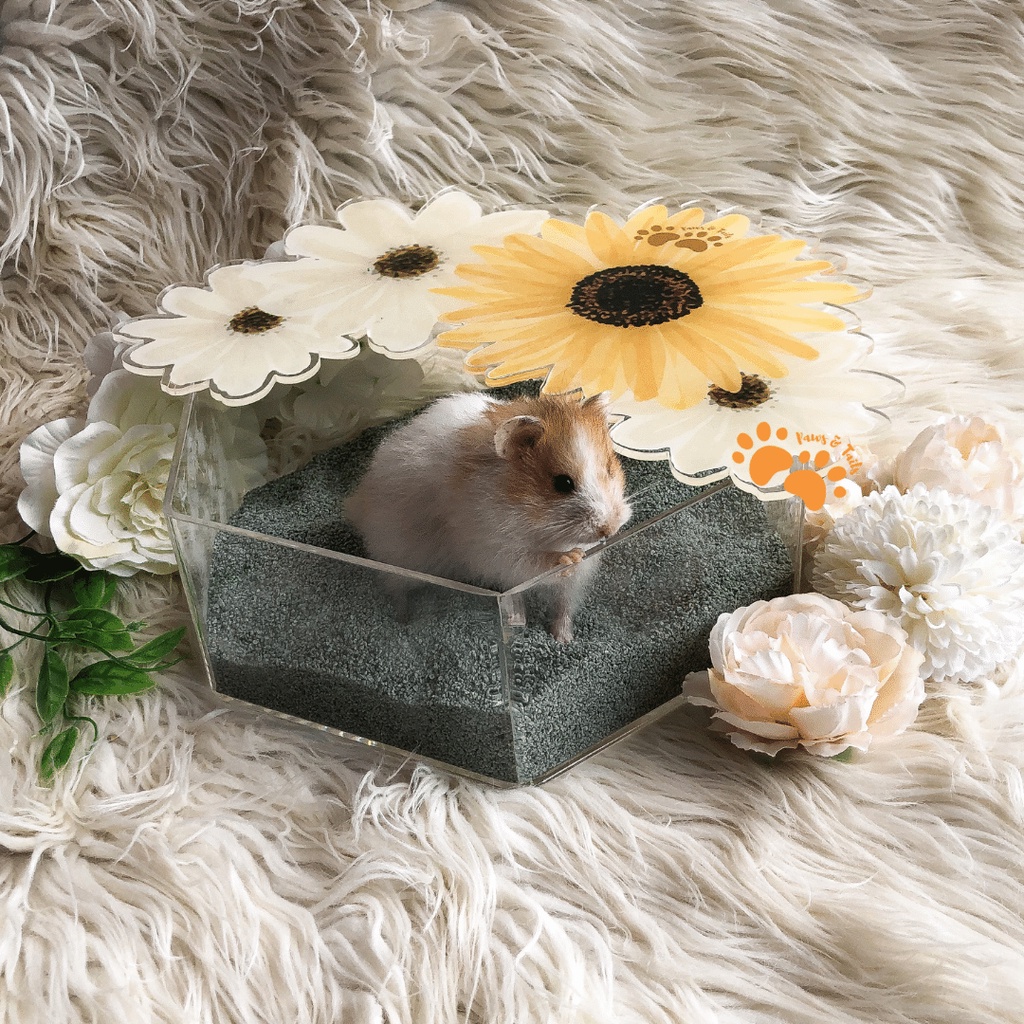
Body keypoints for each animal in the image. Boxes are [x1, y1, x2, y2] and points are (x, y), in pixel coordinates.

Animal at [345, 390, 632, 642]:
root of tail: (358, 501)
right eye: (562, 483)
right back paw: (404, 620)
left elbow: (563, 606)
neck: (543, 528)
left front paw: (563, 640)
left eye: (609, 470)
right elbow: (535, 562)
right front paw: (569, 558)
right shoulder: (494, 550)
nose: (610, 530)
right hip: (400, 558)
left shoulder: (575, 581)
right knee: (394, 588)